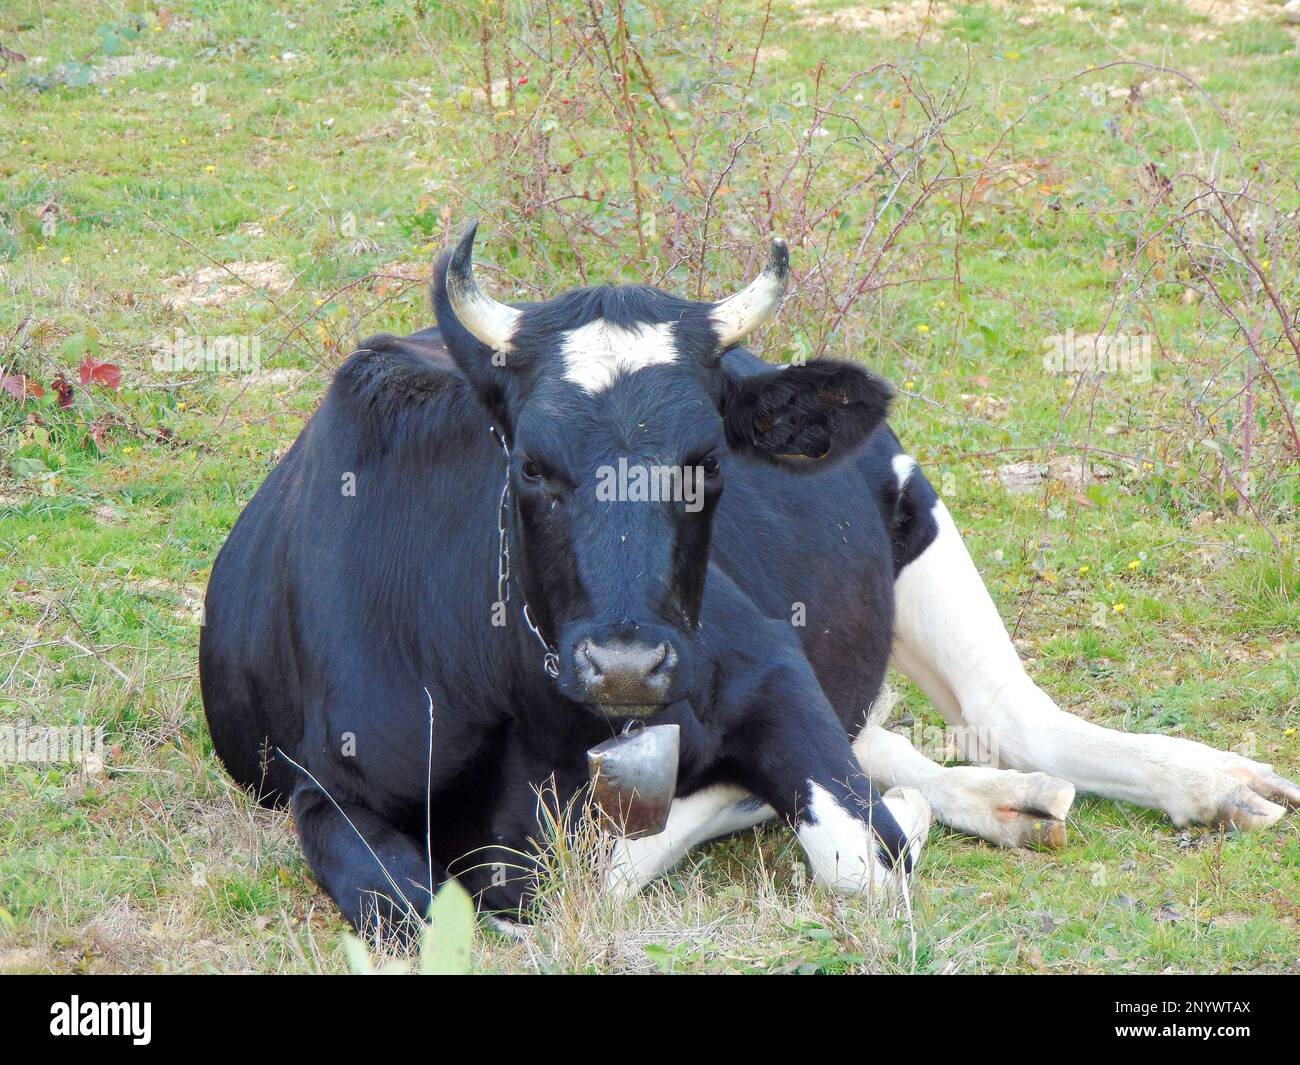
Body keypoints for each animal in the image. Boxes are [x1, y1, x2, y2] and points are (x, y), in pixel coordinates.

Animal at [199, 223, 1299, 939]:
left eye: (708, 462)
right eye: (530, 467)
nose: (628, 664)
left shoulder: (765, 664)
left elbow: (849, 853)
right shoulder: (321, 792)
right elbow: (448, 901)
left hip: (917, 514)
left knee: (1006, 711)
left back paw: (1209, 781)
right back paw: (1010, 800)